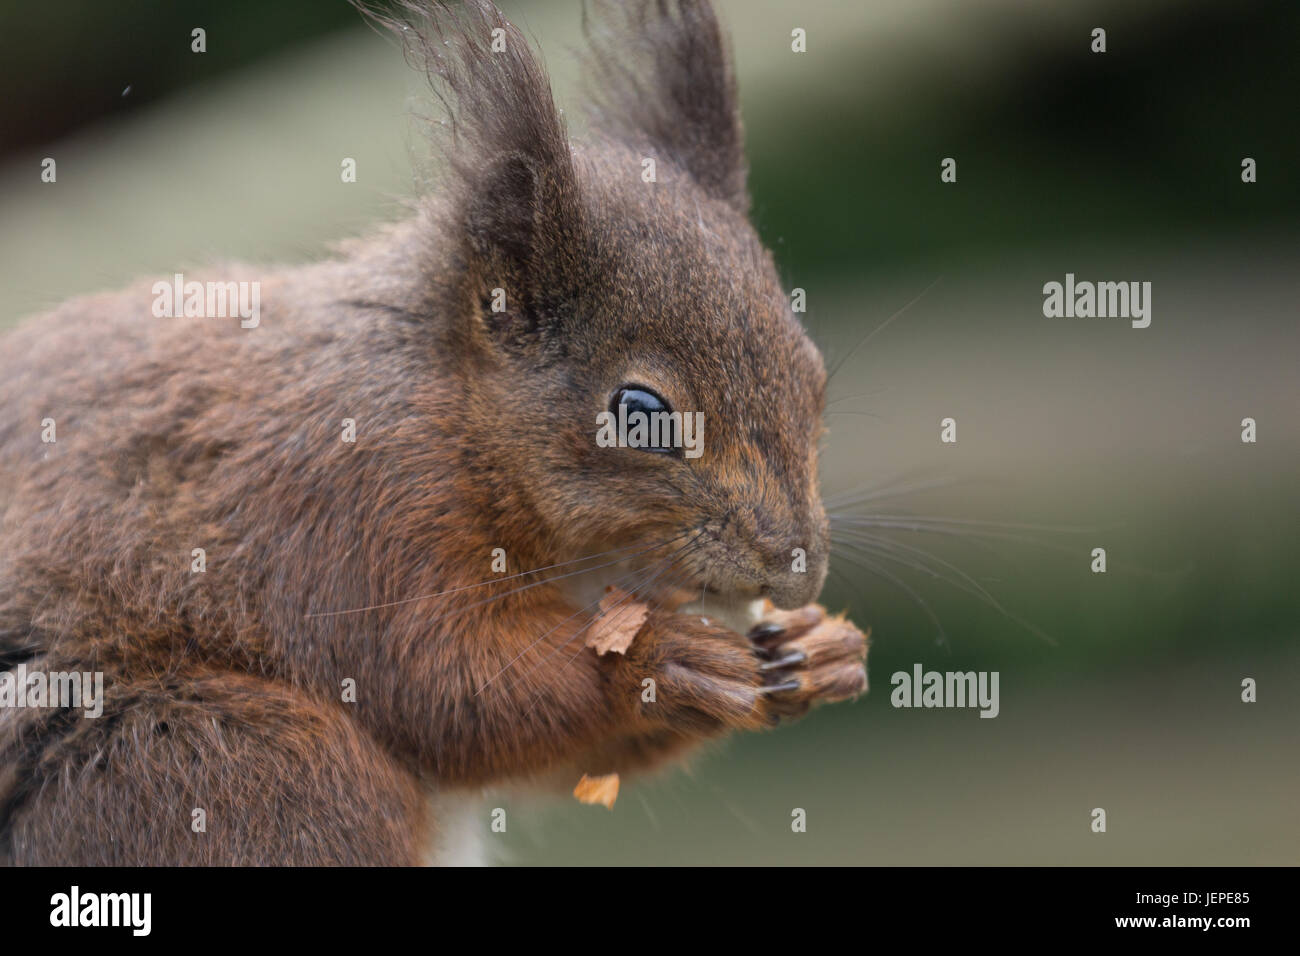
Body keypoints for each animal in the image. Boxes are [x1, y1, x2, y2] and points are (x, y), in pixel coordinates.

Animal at [0, 0, 867, 865]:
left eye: (813, 373)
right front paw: (657, 663)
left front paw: (821, 649)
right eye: (641, 413)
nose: (797, 571)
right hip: (235, 769)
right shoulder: (357, 503)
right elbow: (438, 680)